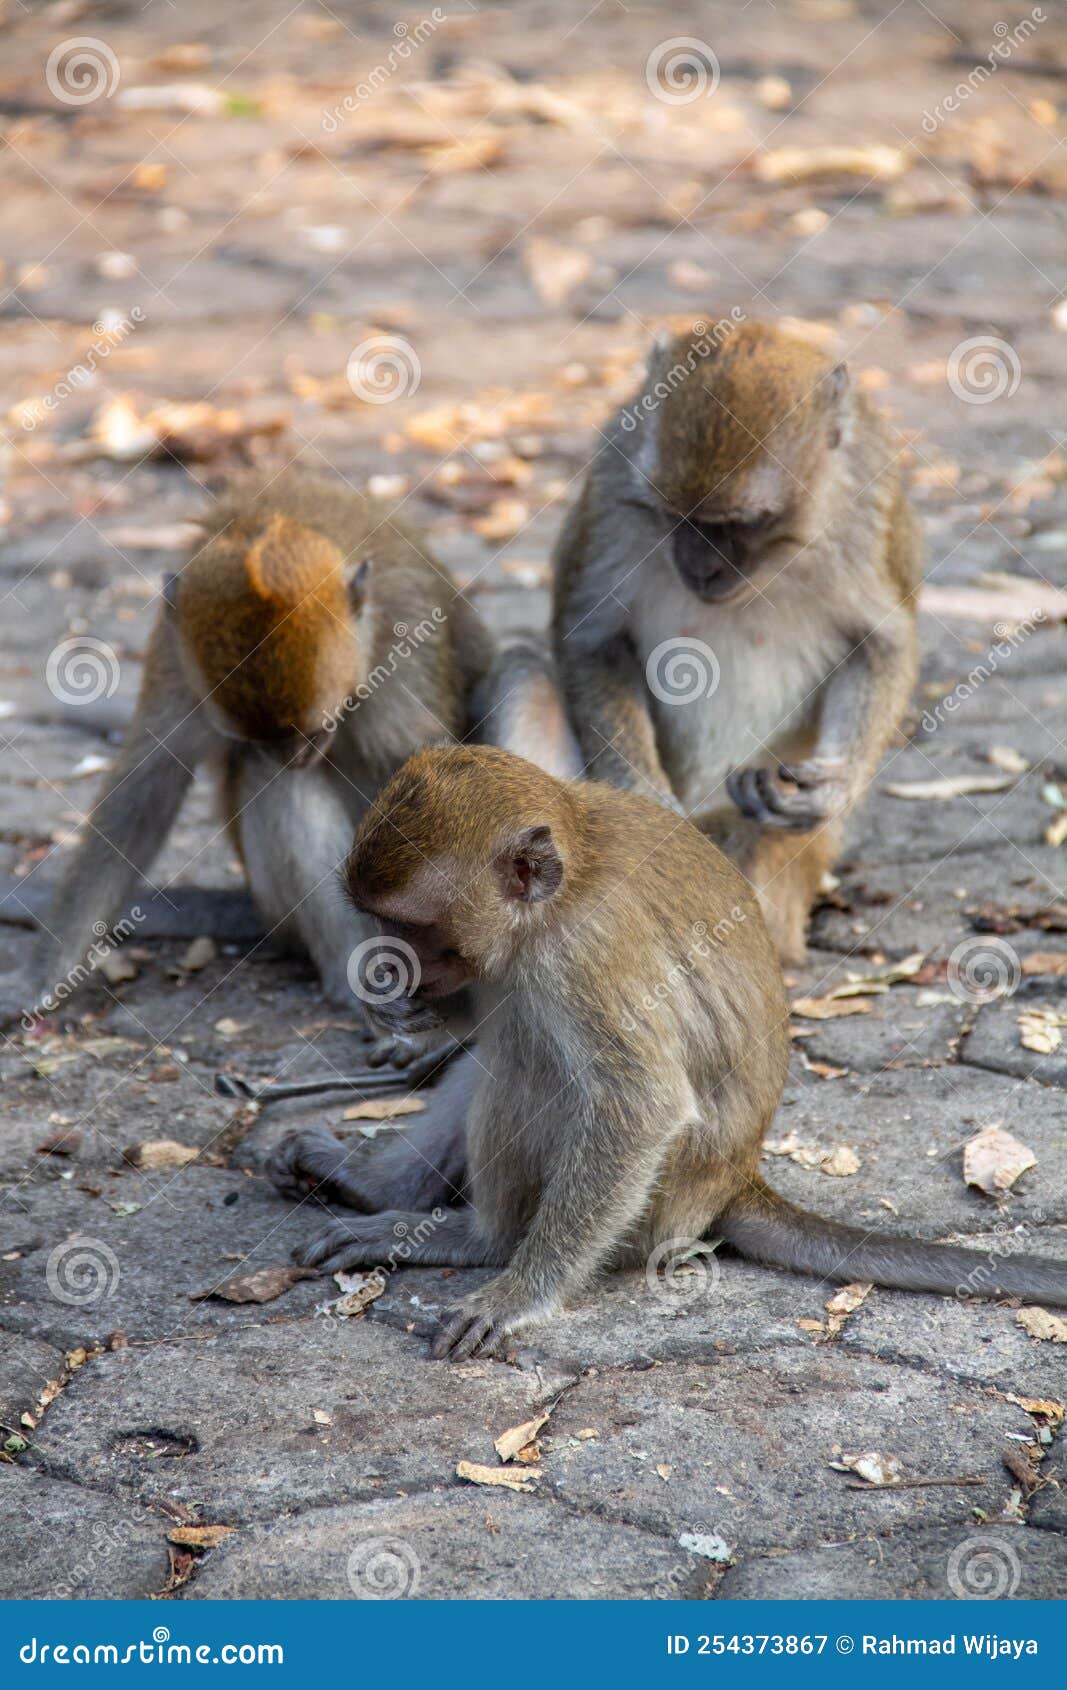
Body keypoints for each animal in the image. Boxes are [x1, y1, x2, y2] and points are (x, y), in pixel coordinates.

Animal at [31, 469, 493, 1021]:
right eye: (252, 735)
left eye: (318, 729)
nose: (293, 756)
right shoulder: (174, 649)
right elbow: (144, 788)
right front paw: (49, 976)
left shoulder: (409, 626)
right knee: (271, 784)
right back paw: (352, 974)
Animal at [265, 745, 1067, 1363]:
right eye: (377, 920)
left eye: (411, 925)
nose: (390, 958)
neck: (563, 887)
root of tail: (736, 1178)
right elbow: (483, 1006)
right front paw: (400, 1009)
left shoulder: (585, 953)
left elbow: (640, 1107)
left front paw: (520, 1296)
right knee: (506, 1035)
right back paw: (377, 1189)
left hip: (659, 1207)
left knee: (528, 1065)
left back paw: (475, 1240)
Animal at [551, 319, 920, 964]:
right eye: (675, 515)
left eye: (741, 524)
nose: (699, 568)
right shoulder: (613, 482)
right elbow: (591, 637)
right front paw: (645, 804)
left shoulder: (868, 503)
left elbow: (881, 642)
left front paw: (834, 784)